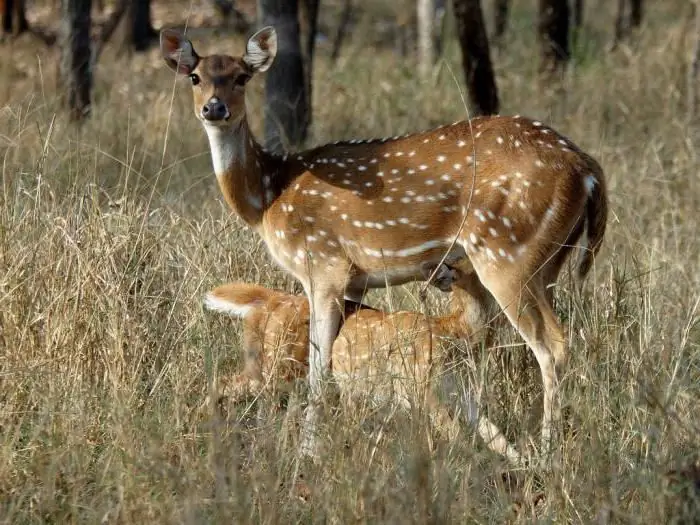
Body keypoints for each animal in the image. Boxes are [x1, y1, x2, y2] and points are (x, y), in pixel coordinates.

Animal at [202, 262, 524, 462]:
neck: (452, 333)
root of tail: (268, 301)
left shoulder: (459, 392)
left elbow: (495, 435)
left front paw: (527, 465)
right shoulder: (418, 387)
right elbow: (456, 434)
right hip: (277, 368)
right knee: (223, 383)